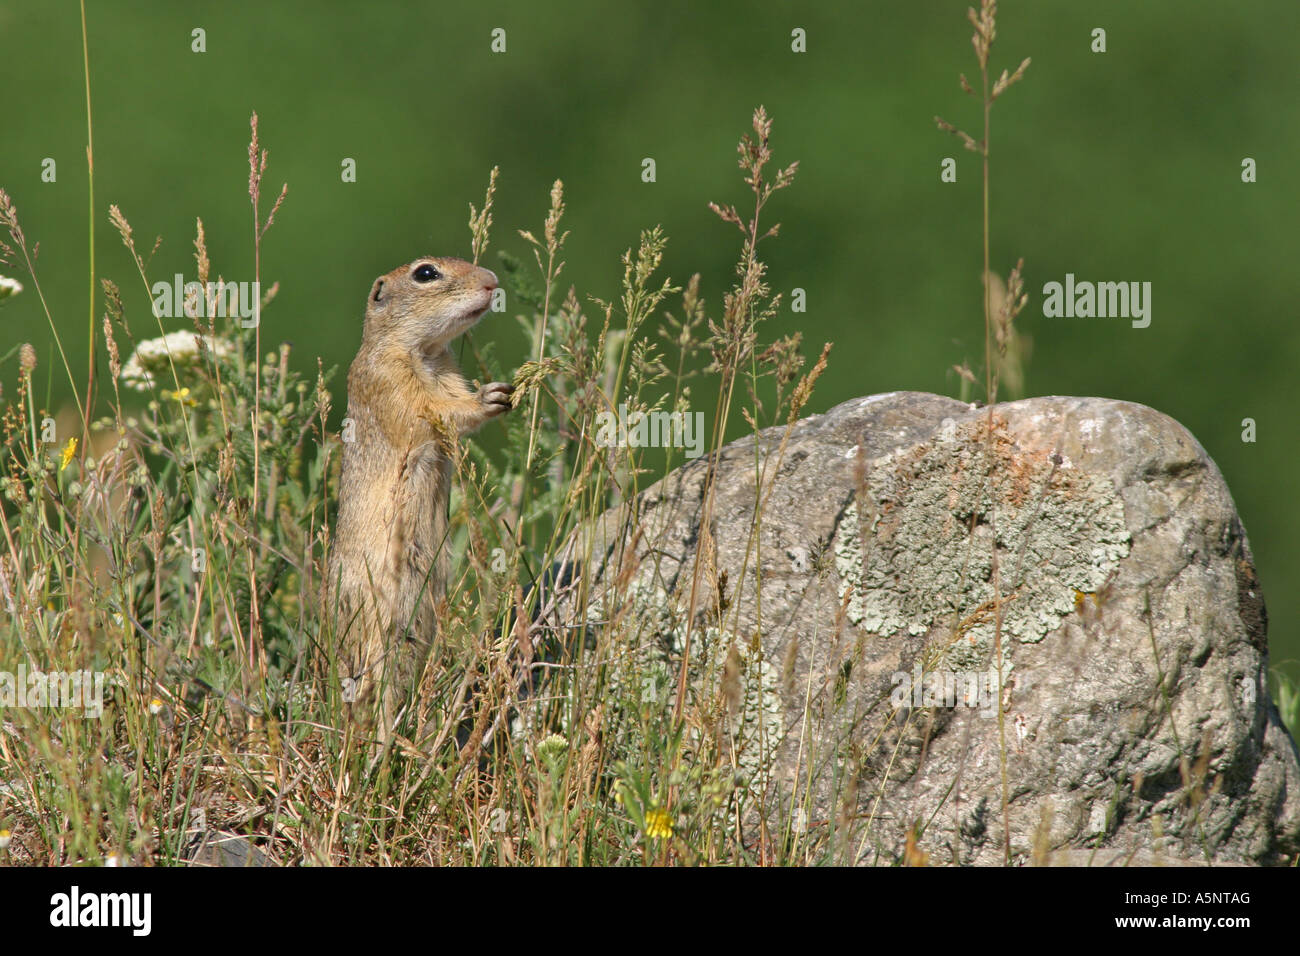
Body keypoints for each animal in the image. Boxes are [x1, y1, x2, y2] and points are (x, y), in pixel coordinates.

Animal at [326, 256, 511, 741]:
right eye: (426, 273)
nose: (492, 282)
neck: (423, 351)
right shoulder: (390, 381)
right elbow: (435, 415)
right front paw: (490, 397)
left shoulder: (447, 370)